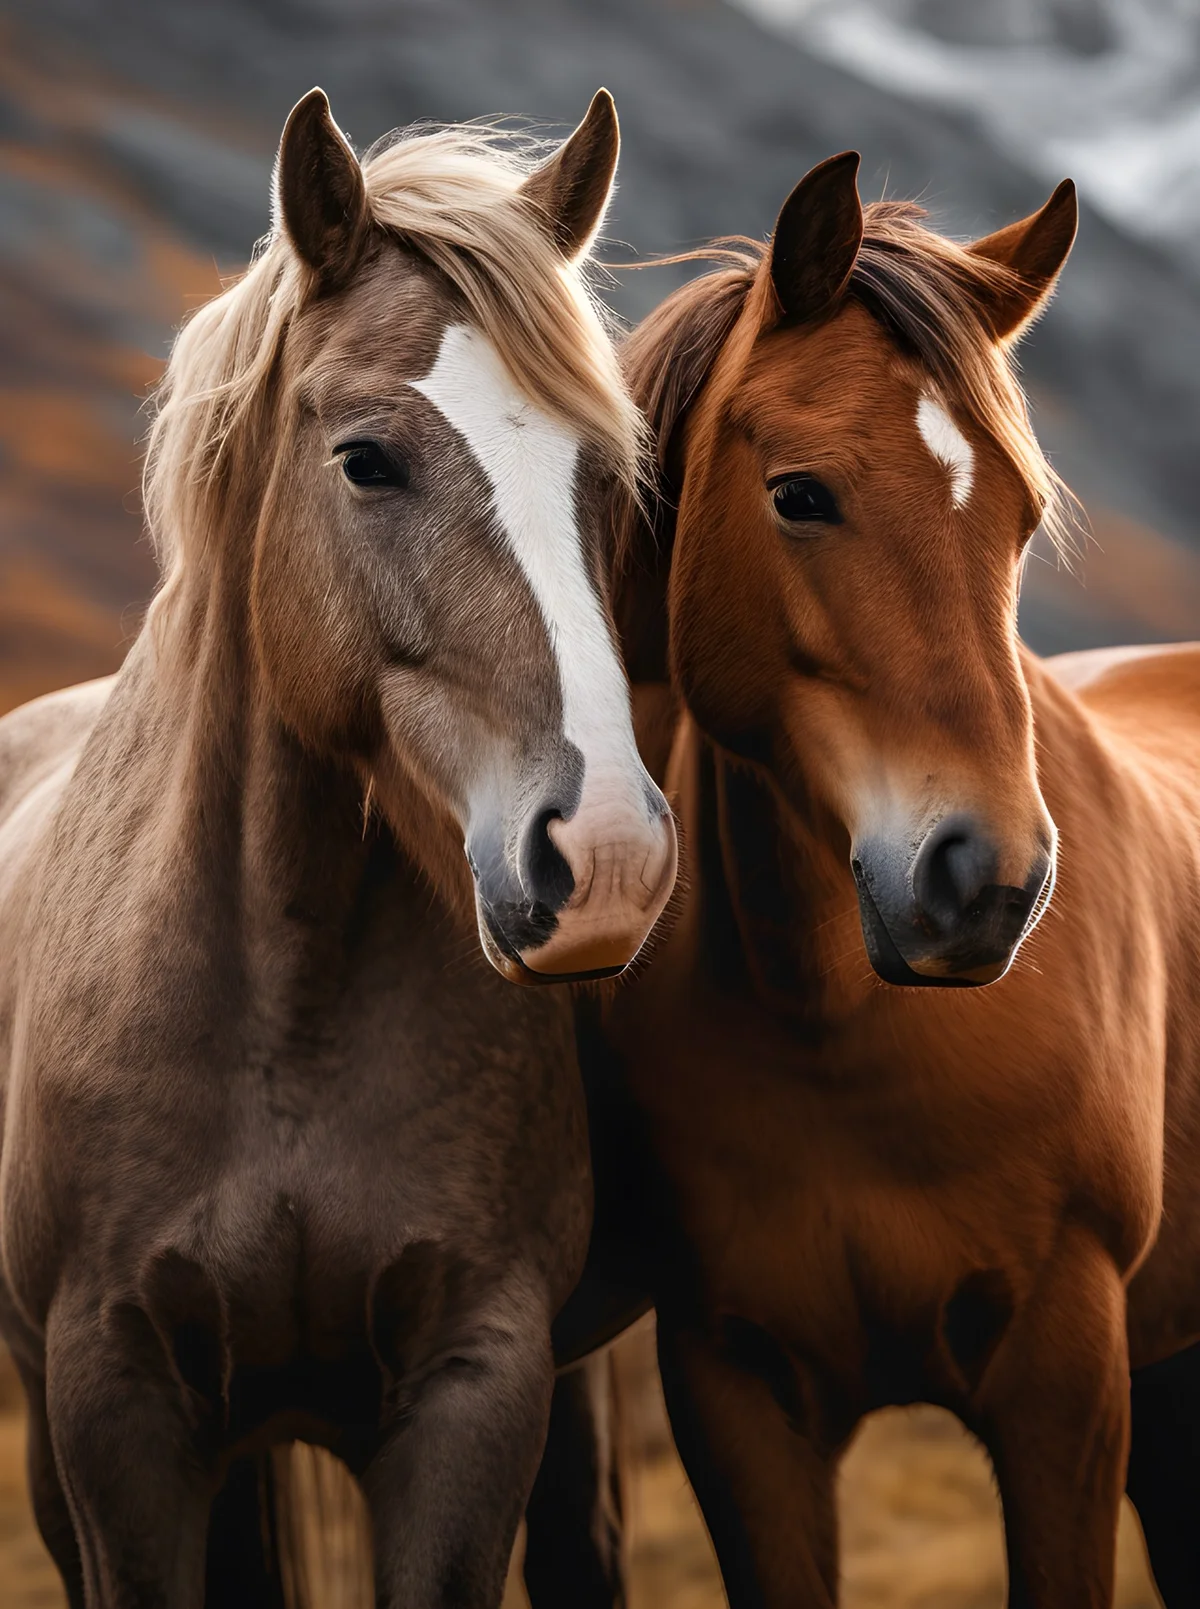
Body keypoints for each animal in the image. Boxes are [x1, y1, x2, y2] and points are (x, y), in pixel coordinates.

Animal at [0, 84, 678, 1608]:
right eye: (368, 459)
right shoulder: (112, 1403)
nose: (606, 858)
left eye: (608, 478)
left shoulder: (477, 1386)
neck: (285, 997)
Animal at [571, 153, 1200, 1608]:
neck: (840, 1037)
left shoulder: (1065, 1376)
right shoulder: (738, 1391)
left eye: (1021, 519)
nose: (987, 882)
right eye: (800, 493)